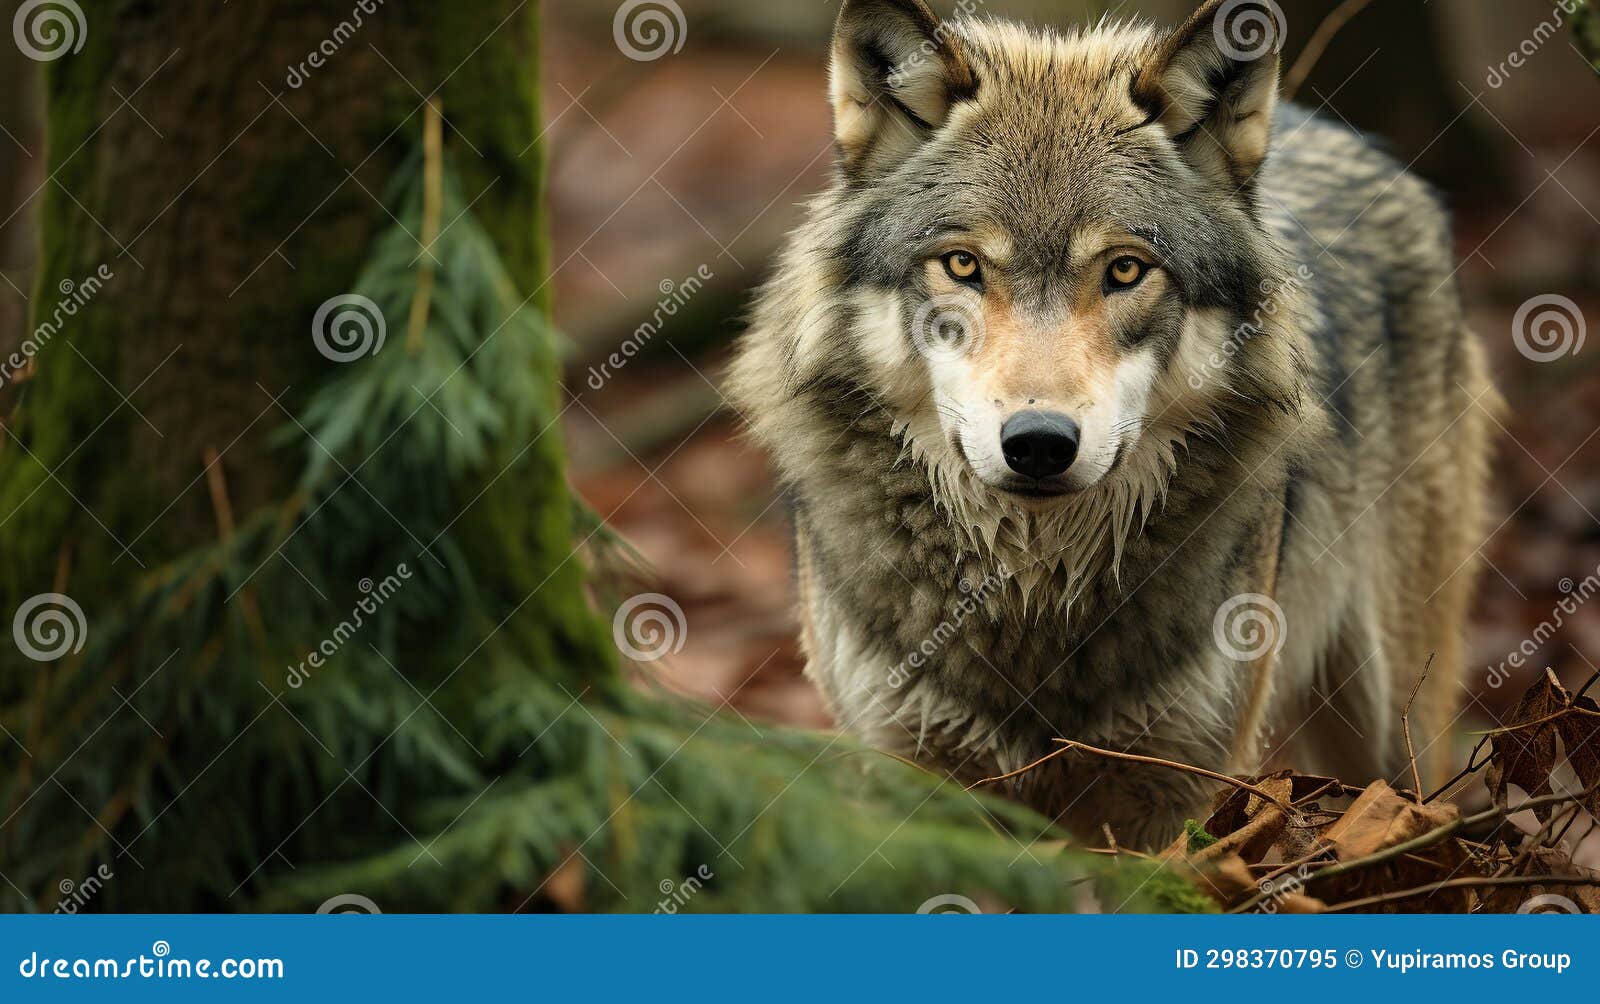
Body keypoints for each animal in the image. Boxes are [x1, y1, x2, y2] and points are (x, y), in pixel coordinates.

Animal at [727, 0, 1497, 848]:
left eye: (1125, 270)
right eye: (962, 266)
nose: (1038, 442)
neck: (1032, 593)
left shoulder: (1169, 786)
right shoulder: (915, 770)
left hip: (1391, 720)